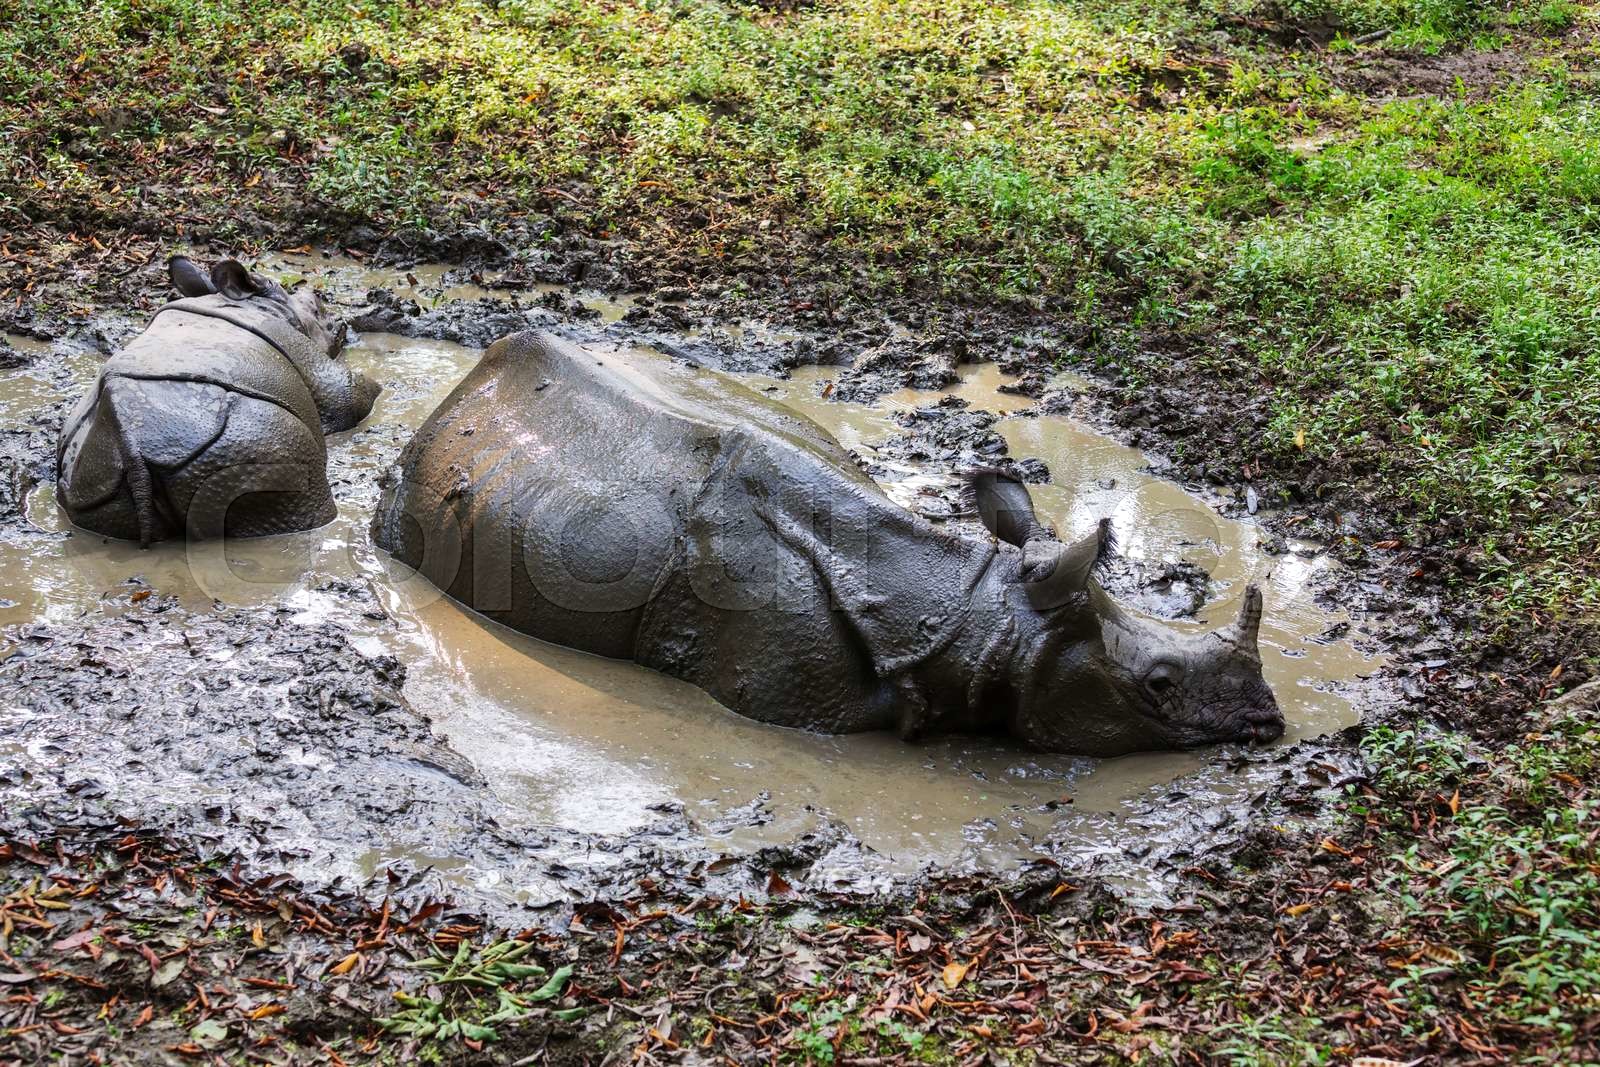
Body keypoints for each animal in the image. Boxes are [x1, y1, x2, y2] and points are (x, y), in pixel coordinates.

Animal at [57, 257, 379, 545]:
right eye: (316, 308)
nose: (341, 322)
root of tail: (132, 447)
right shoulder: (297, 347)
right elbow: (352, 395)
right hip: (252, 443)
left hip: (94, 487)